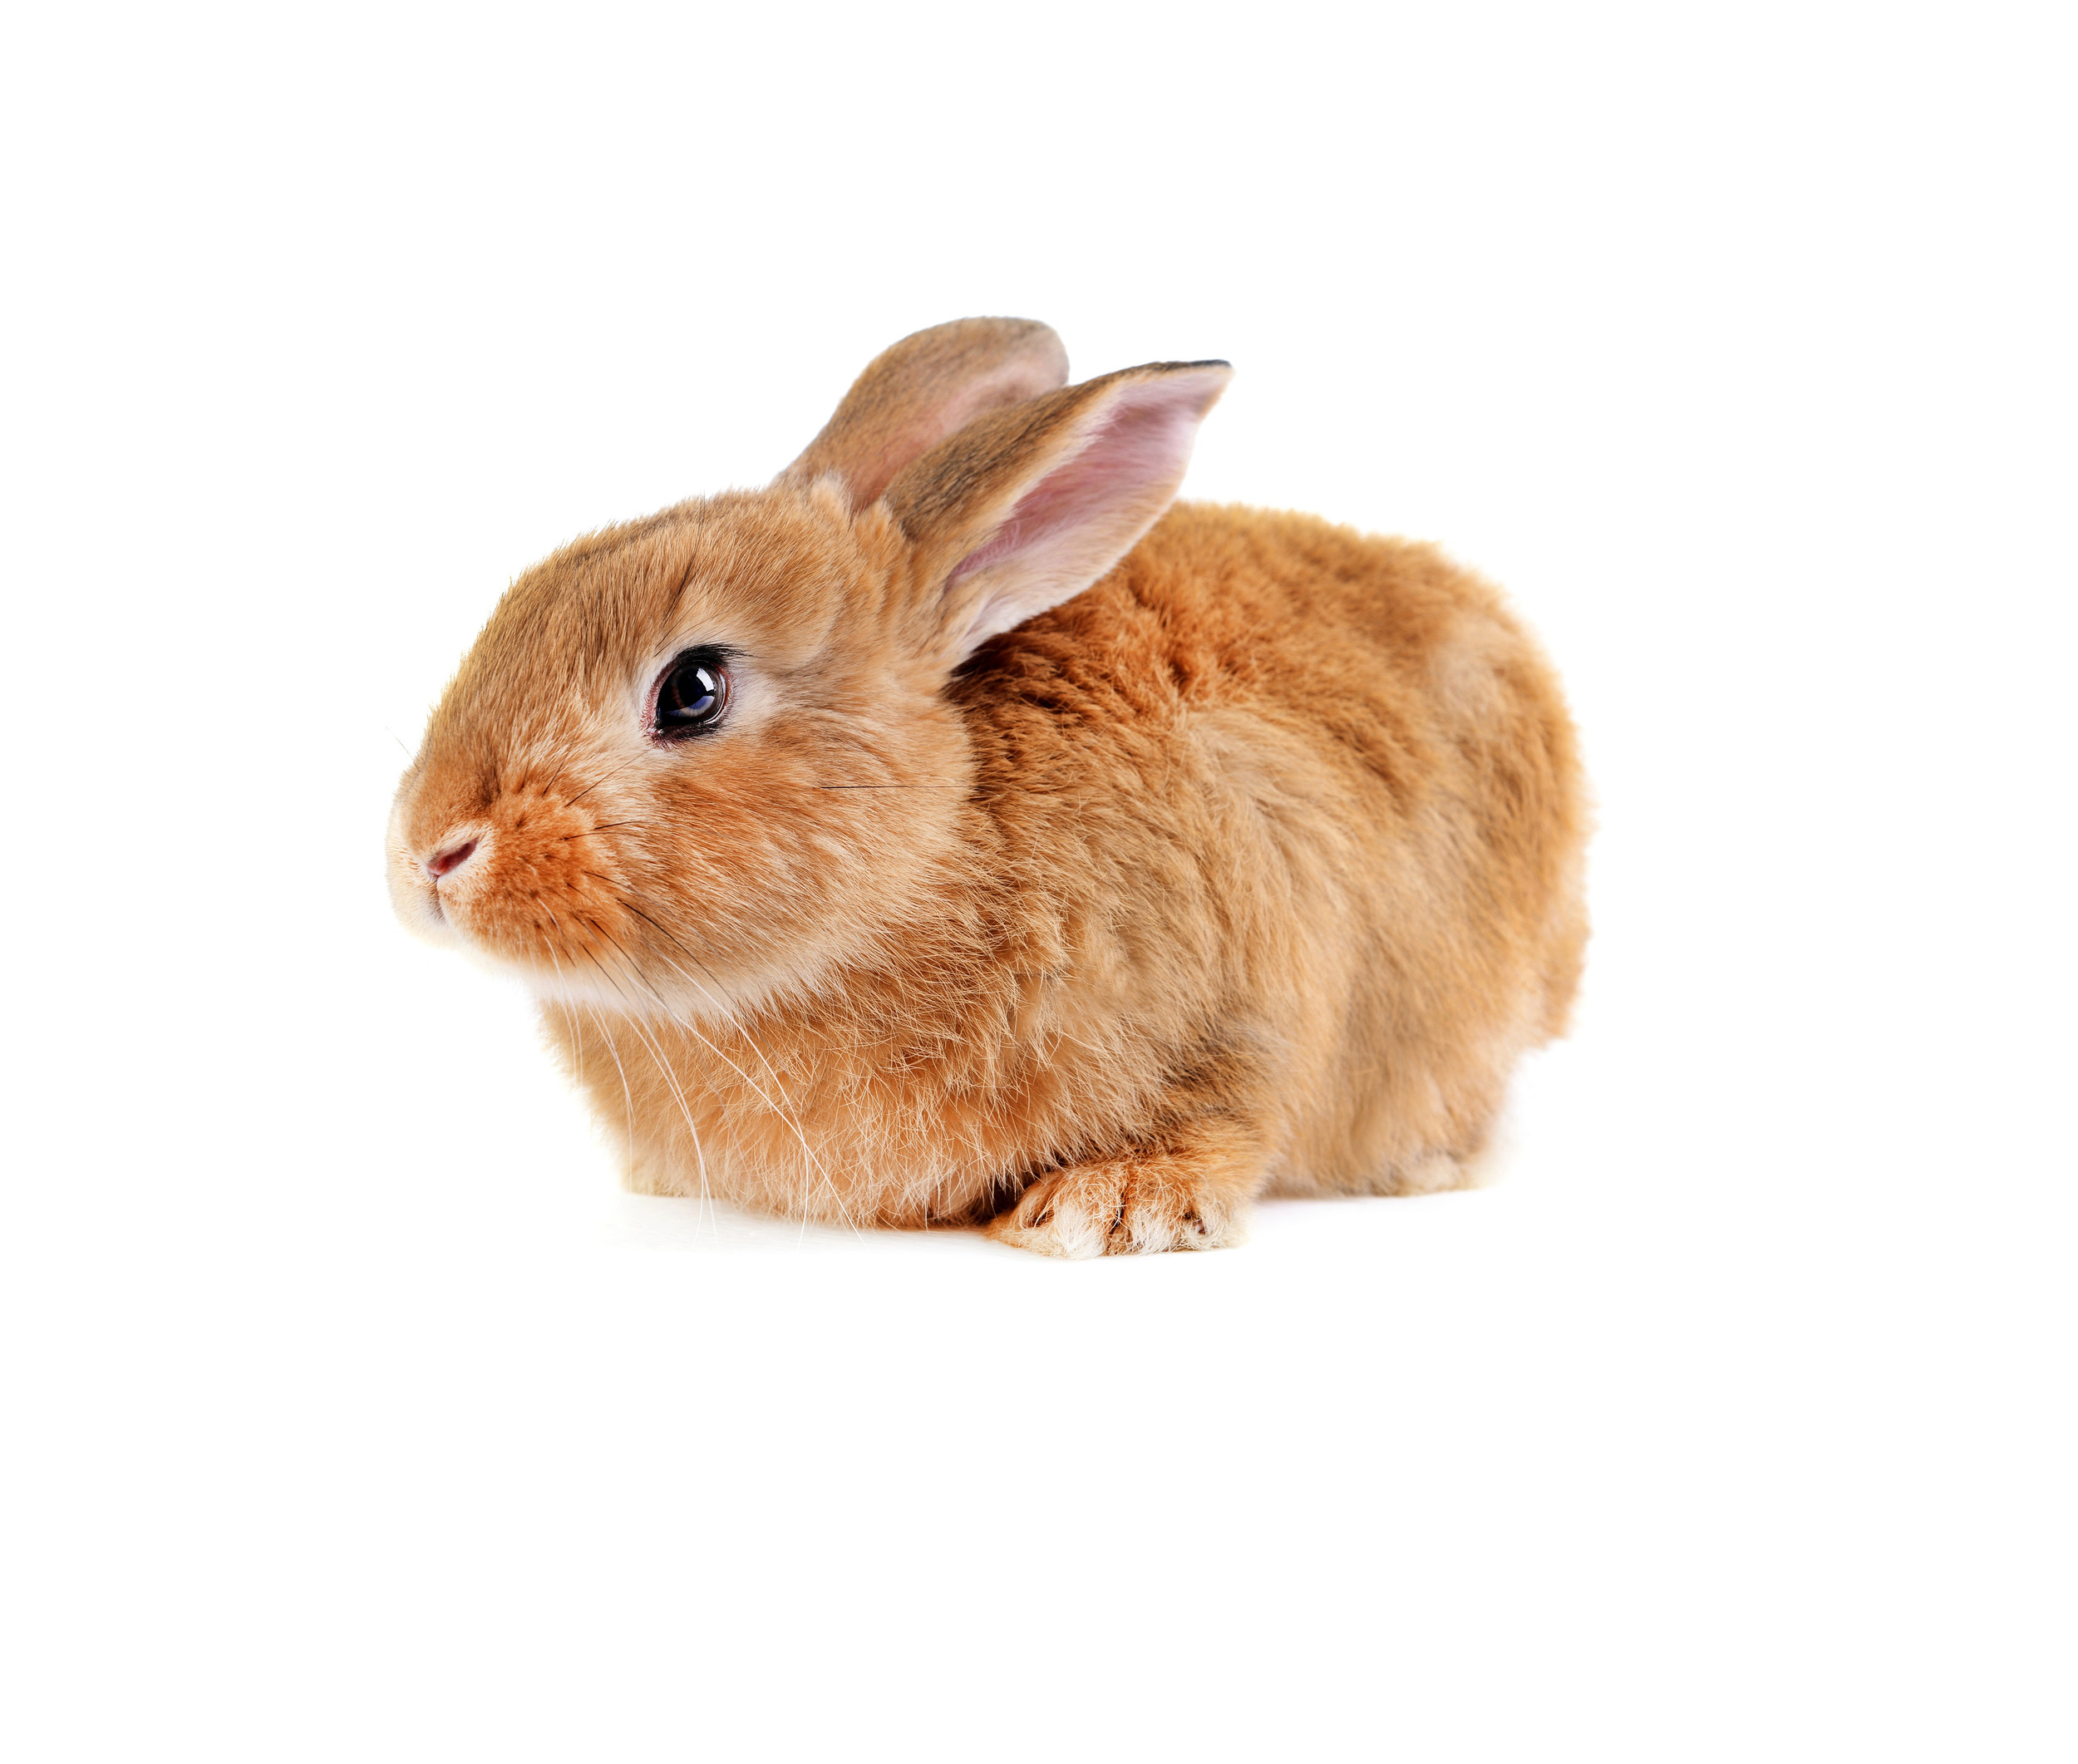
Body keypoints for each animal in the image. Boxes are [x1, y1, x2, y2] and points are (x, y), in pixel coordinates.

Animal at [387, 317, 1588, 1257]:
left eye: (692, 690)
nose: (430, 853)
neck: (924, 862)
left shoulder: (1257, 989)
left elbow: (1223, 1115)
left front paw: (1110, 1209)